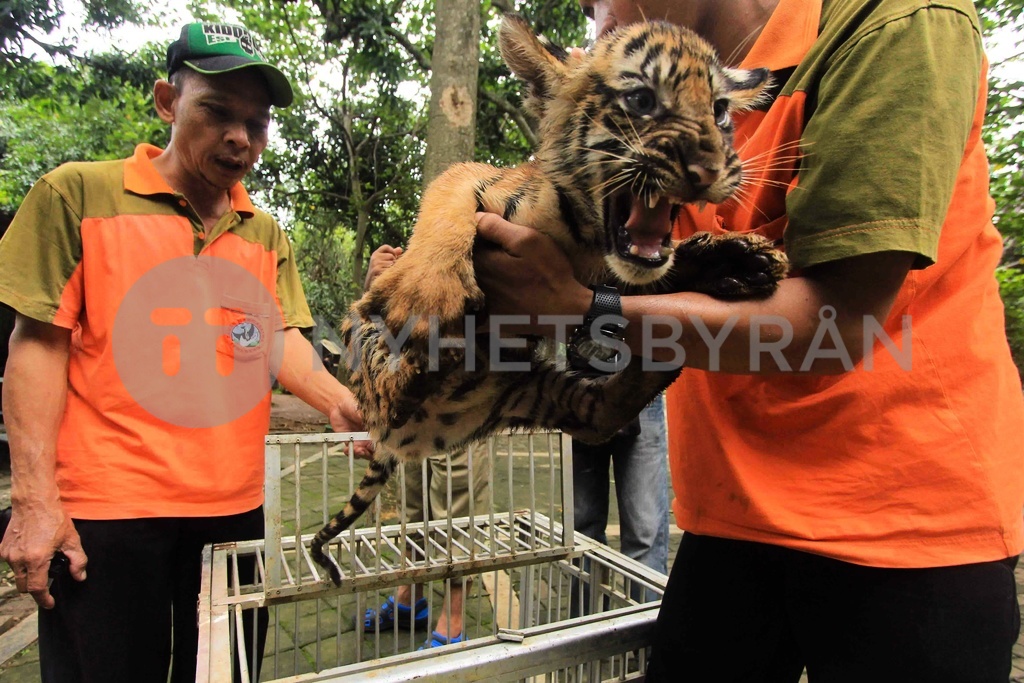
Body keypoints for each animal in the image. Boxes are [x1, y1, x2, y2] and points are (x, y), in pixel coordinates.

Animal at [311, 14, 789, 585]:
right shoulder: (476, 177)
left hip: (529, 393)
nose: (709, 170)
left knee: (603, 412)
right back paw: (415, 357)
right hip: (380, 357)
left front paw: (738, 261)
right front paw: (426, 292)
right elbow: (447, 211)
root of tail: (400, 436)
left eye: (719, 111)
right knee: (385, 374)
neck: (584, 237)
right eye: (642, 100)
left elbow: (646, 278)